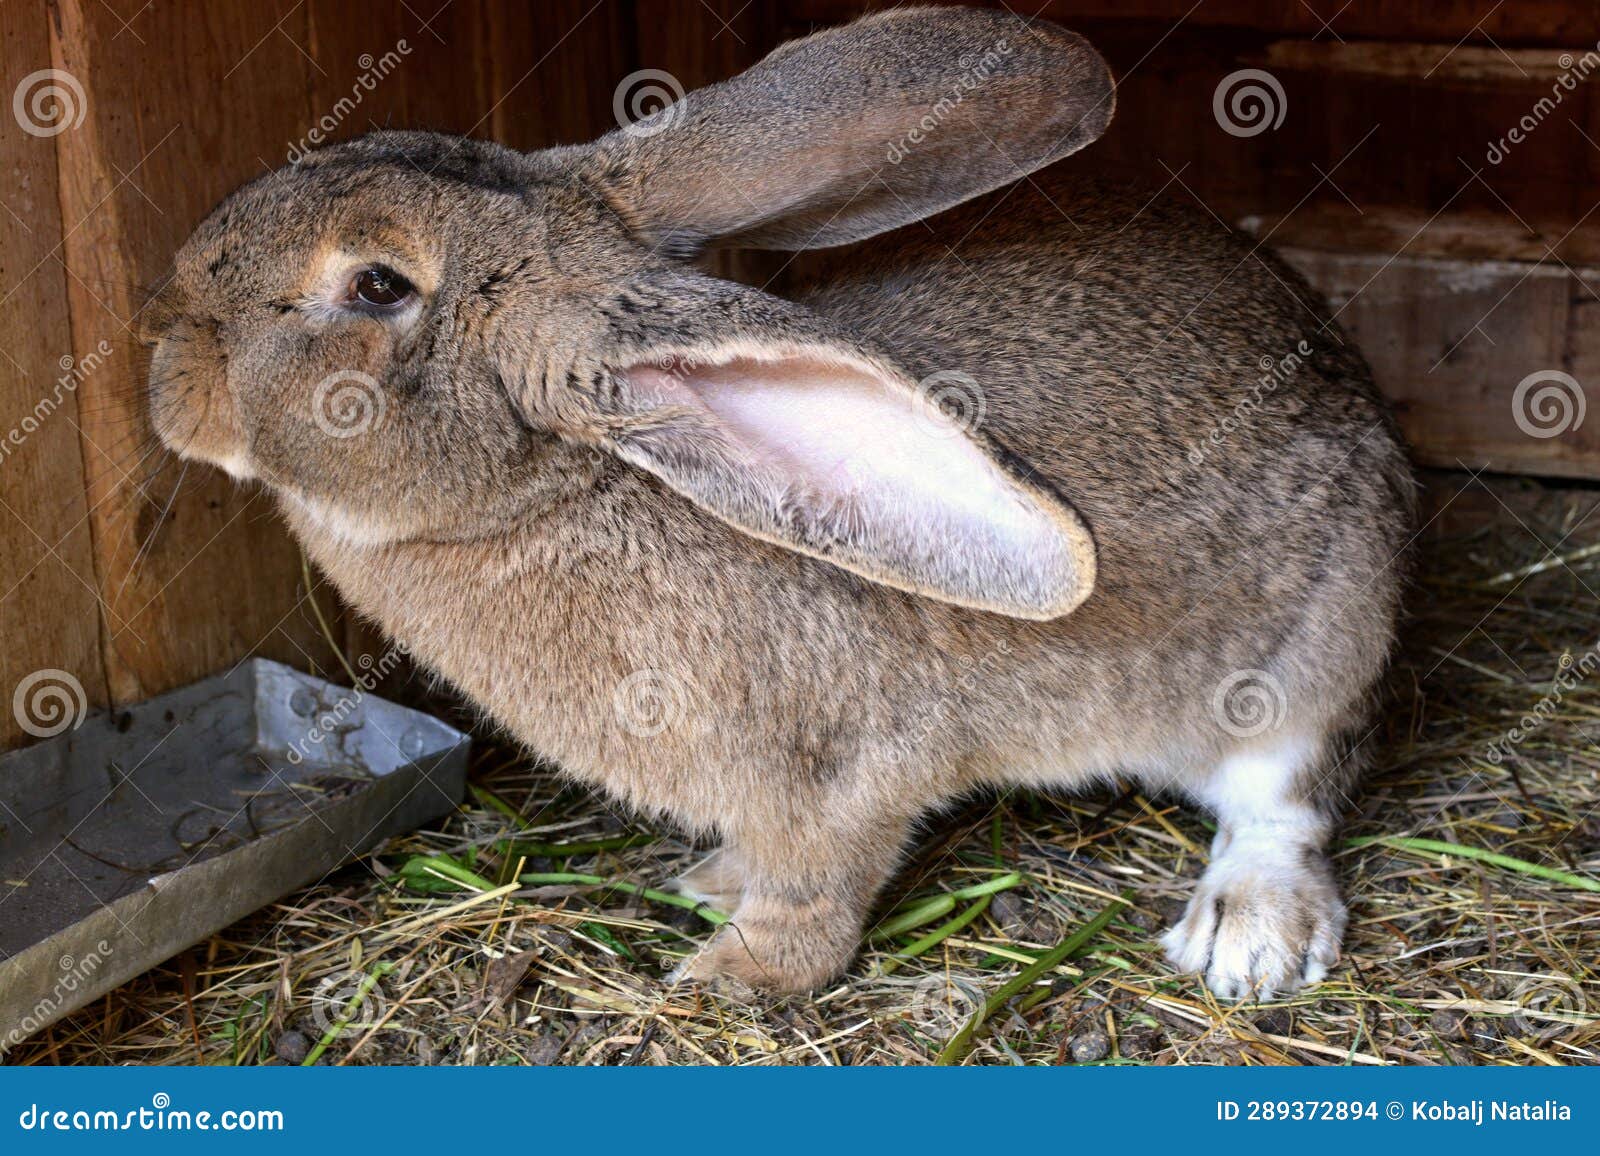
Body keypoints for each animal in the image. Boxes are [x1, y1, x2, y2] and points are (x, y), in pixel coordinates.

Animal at [142, 5, 1414, 999]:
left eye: (375, 285)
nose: (161, 361)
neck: (570, 489)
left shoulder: (841, 783)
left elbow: (817, 889)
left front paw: (735, 968)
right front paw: (711, 884)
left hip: (1312, 646)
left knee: (1287, 796)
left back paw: (1247, 936)